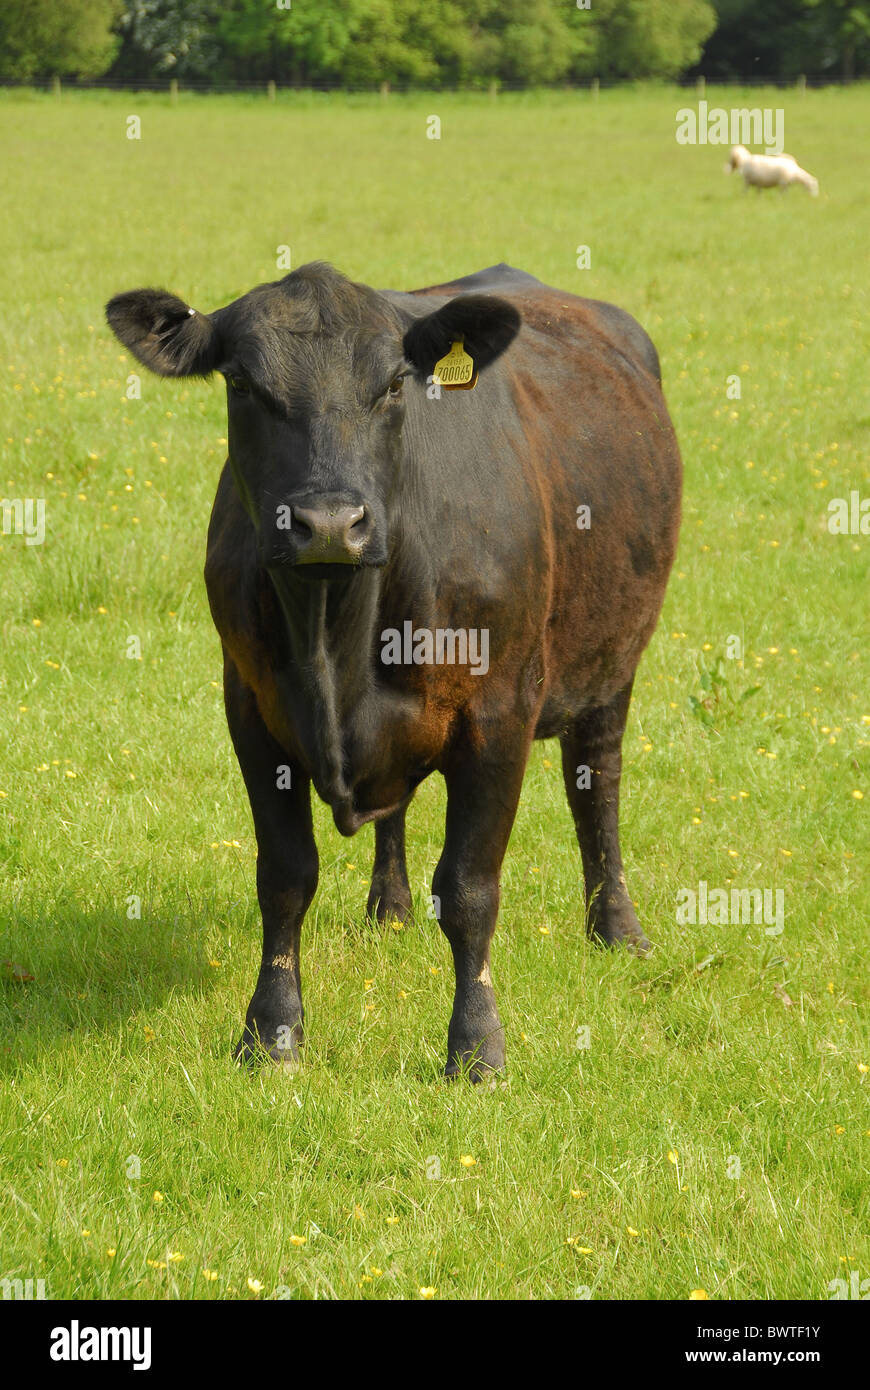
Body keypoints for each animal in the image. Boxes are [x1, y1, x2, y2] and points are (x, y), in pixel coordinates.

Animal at [105, 261, 682, 1081]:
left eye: (393, 385)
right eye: (242, 384)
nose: (326, 524)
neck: (336, 632)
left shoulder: (501, 713)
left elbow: (471, 889)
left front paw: (476, 1047)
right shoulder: (249, 707)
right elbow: (285, 876)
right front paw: (271, 1033)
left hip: (613, 660)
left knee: (597, 789)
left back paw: (617, 929)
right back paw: (391, 908)